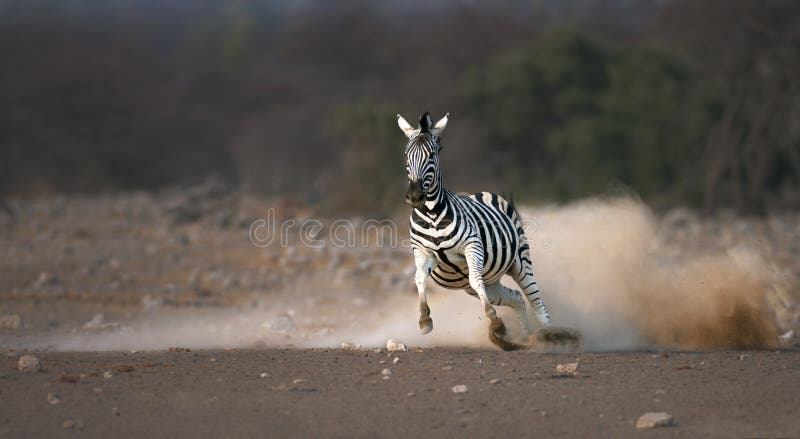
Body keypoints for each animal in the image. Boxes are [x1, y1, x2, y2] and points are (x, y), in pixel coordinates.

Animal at [398, 112, 550, 350]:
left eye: (432, 154)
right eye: (407, 154)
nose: (414, 197)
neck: (432, 214)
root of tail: (485, 193)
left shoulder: (472, 247)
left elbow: (475, 279)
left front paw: (496, 324)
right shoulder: (422, 252)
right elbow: (419, 279)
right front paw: (424, 320)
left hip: (520, 262)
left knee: (536, 301)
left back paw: (552, 337)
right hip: (492, 281)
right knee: (516, 297)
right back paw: (525, 339)